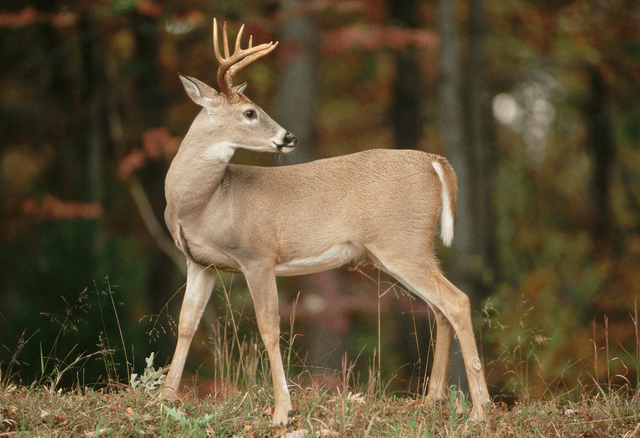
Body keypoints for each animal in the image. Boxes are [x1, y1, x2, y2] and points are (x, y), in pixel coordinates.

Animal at [159, 18, 491, 425]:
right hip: (399, 250)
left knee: (457, 301)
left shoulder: (257, 254)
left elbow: (269, 328)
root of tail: (434, 160)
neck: (203, 204)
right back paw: (432, 400)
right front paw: (163, 398)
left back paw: (480, 409)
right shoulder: (200, 262)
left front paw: (282, 411)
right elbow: (186, 324)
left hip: (403, 243)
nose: (288, 137)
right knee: (439, 310)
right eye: (251, 112)